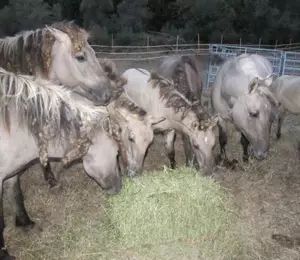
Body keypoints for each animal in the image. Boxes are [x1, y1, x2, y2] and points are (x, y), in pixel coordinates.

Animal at [0, 68, 125, 260]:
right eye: (117, 153)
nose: (118, 187)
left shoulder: (11, 173)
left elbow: (16, 195)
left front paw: (26, 224)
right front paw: (4, 253)